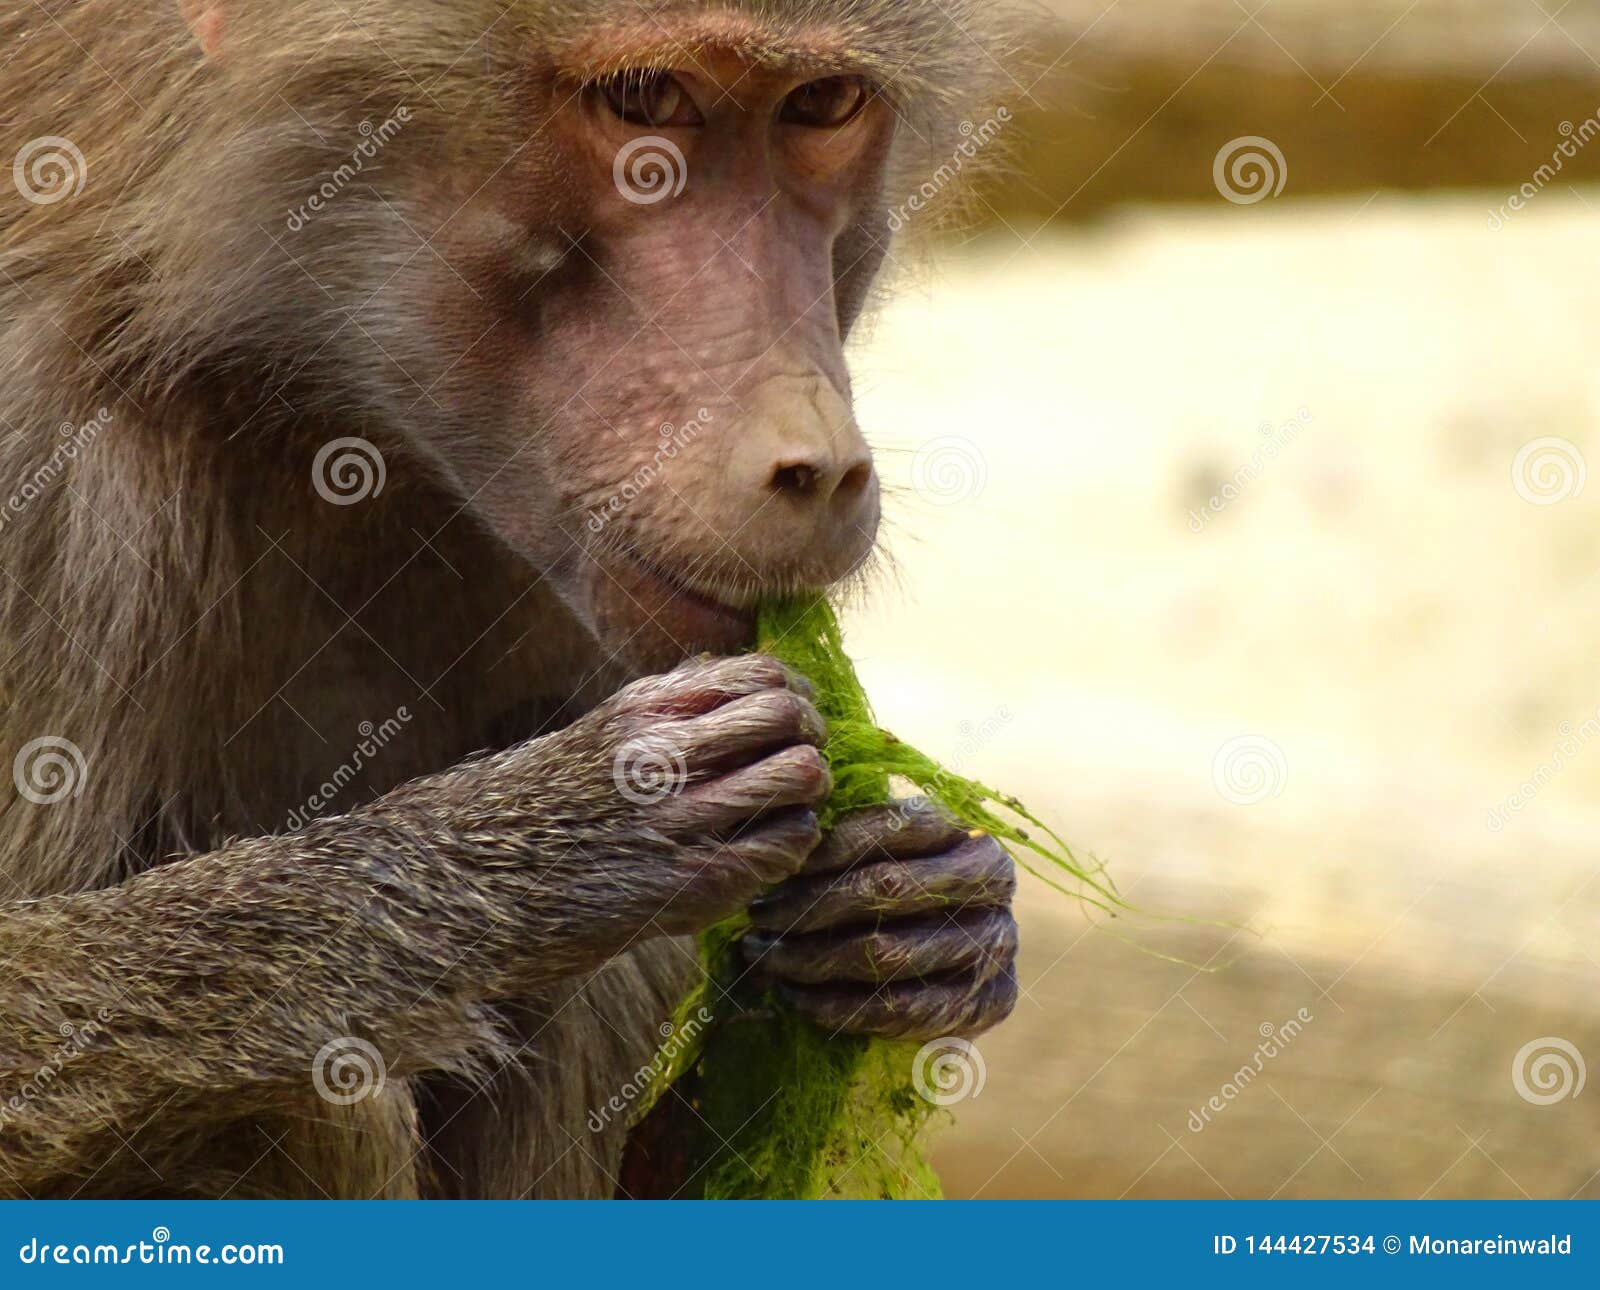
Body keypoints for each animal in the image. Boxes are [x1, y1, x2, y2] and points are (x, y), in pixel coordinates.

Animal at [0, 0, 1021, 1199]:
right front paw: (554, 835)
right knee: (296, 1087)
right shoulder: (37, 457)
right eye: (644, 101)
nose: (816, 470)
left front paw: (914, 906)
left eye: (822, 104)